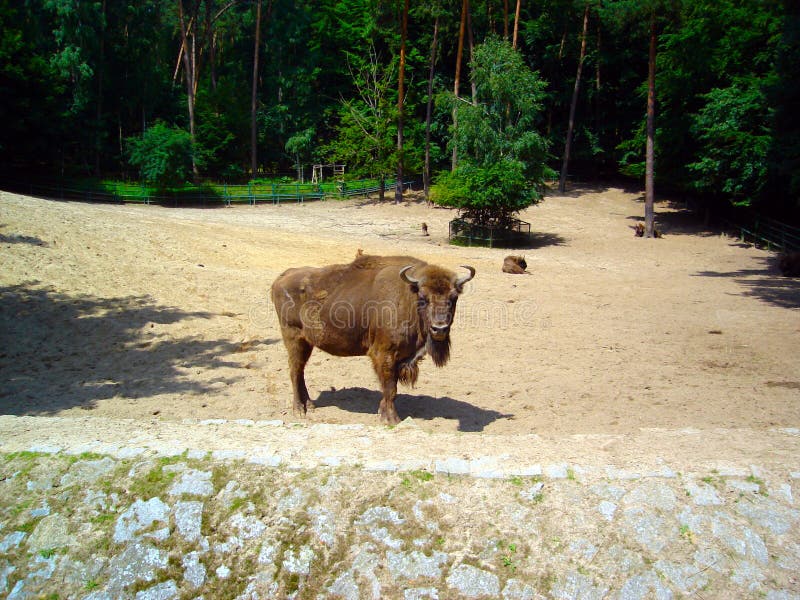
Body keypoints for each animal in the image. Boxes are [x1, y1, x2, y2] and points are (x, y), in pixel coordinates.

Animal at [271, 253, 475, 425]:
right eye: (423, 297)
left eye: (453, 297)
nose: (439, 328)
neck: (408, 295)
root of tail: (283, 277)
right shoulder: (384, 355)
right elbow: (390, 388)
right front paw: (392, 419)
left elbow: (390, 389)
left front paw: (382, 412)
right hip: (294, 339)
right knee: (294, 371)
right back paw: (299, 410)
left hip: (307, 343)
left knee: (300, 371)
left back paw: (310, 405)